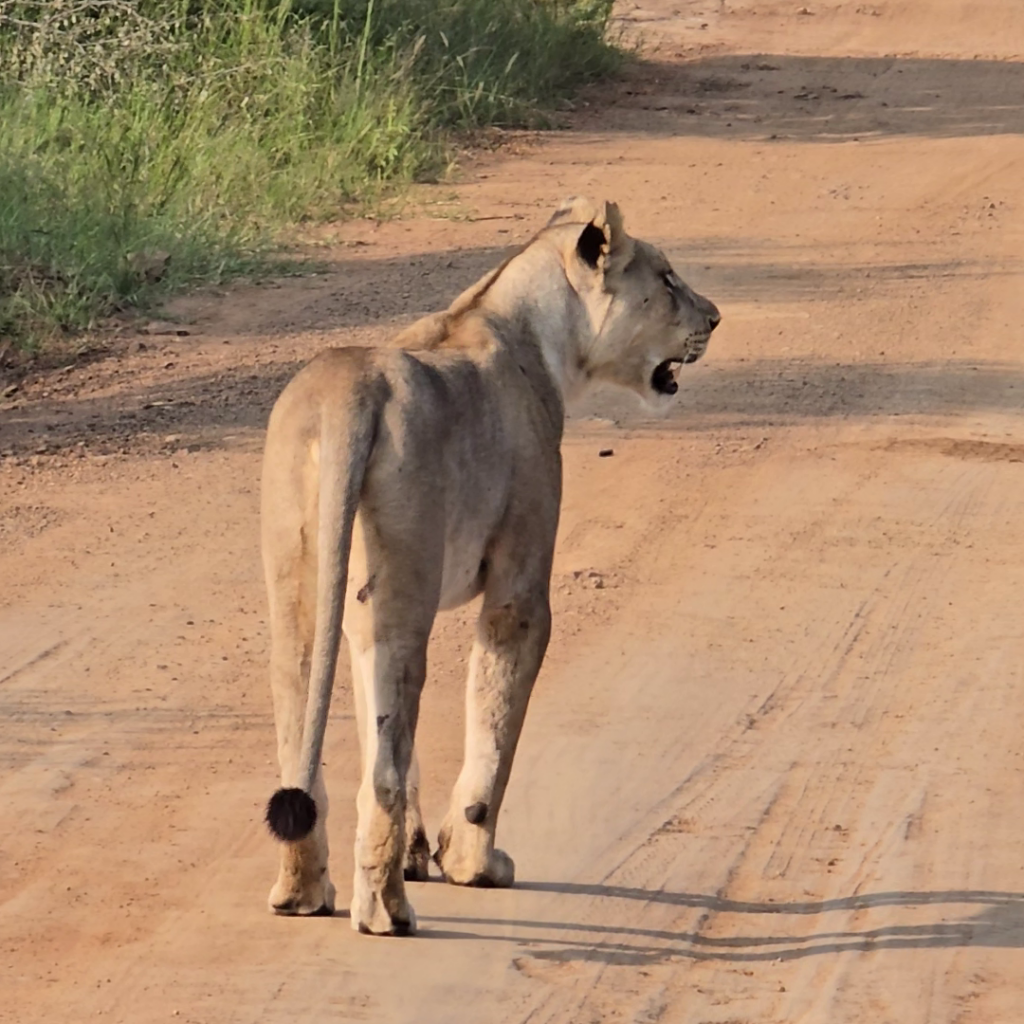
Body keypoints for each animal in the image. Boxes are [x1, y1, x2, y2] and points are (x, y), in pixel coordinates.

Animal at [260, 197, 720, 935]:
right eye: (668, 279)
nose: (715, 317)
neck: (526, 327)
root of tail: (345, 391)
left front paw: (420, 853)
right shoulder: (519, 586)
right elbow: (495, 722)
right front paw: (474, 863)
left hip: (305, 590)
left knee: (306, 743)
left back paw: (303, 893)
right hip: (405, 589)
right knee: (383, 772)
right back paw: (387, 910)